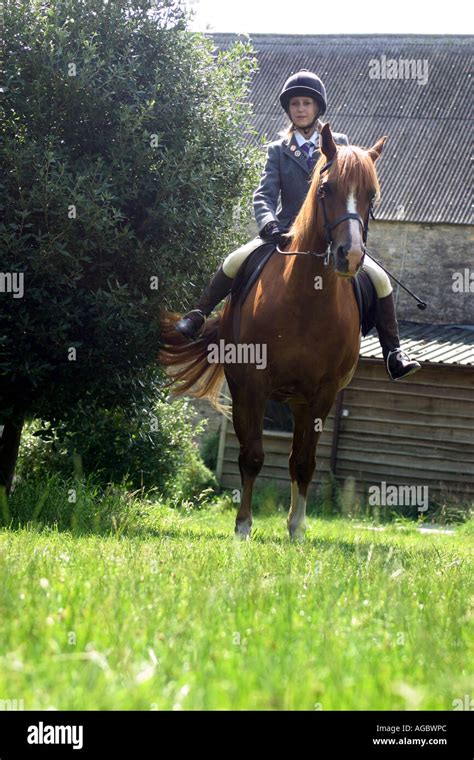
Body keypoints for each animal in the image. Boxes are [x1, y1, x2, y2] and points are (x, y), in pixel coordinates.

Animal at [159, 124, 386, 539]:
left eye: (371, 194)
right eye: (326, 188)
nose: (350, 256)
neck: (307, 300)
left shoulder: (322, 396)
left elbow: (305, 462)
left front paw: (296, 529)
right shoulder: (251, 385)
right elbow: (252, 456)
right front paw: (243, 526)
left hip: (300, 402)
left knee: (298, 458)